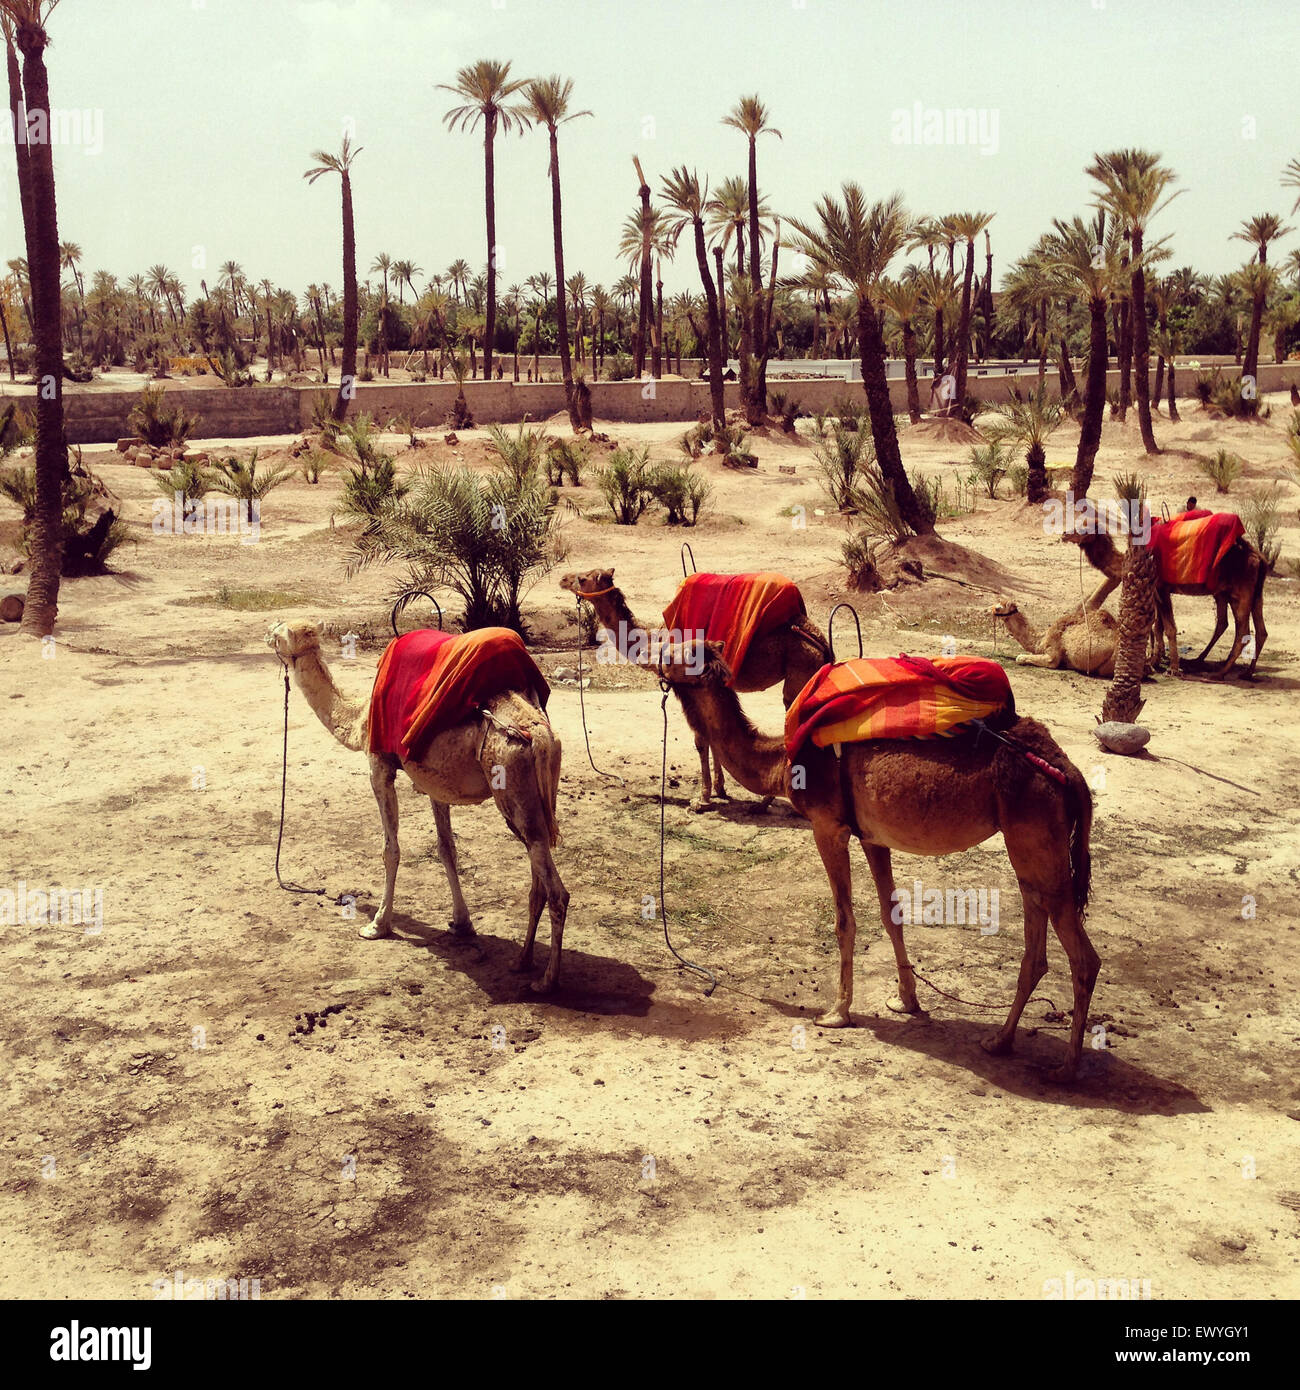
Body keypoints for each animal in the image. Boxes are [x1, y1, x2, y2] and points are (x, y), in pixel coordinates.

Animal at [265, 621, 569, 991]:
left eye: (280, 632)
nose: (267, 633)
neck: (360, 719)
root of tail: (538, 734)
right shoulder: (435, 784)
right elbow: (446, 848)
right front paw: (461, 923)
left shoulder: (379, 767)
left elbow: (390, 849)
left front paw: (377, 925)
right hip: (537, 802)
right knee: (538, 878)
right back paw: (522, 961)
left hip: (513, 792)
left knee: (556, 891)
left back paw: (548, 981)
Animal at [559, 566, 830, 809]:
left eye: (582, 579)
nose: (563, 579)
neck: (656, 645)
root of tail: (822, 644)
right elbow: (711, 740)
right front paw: (720, 789)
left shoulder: (690, 684)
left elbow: (702, 741)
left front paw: (703, 798)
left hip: (799, 673)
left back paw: (768, 801)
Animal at [656, 639, 1099, 1083]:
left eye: (679, 652)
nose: (654, 651)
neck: (783, 763)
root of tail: (1069, 770)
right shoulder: (872, 837)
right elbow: (892, 914)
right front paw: (906, 1000)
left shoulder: (828, 827)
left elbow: (844, 921)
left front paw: (836, 1013)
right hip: (1028, 849)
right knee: (1036, 944)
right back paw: (999, 1041)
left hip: (1036, 839)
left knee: (1084, 957)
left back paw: (1066, 1069)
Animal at [1063, 524, 1267, 678]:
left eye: (1084, 526)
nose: (1064, 534)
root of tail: (1259, 558)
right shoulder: (1155, 592)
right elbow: (1157, 626)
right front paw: (1155, 661)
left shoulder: (1161, 588)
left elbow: (1168, 628)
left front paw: (1173, 668)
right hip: (1248, 594)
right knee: (1257, 630)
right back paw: (1243, 671)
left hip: (1240, 594)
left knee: (1242, 632)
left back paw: (1219, 673)